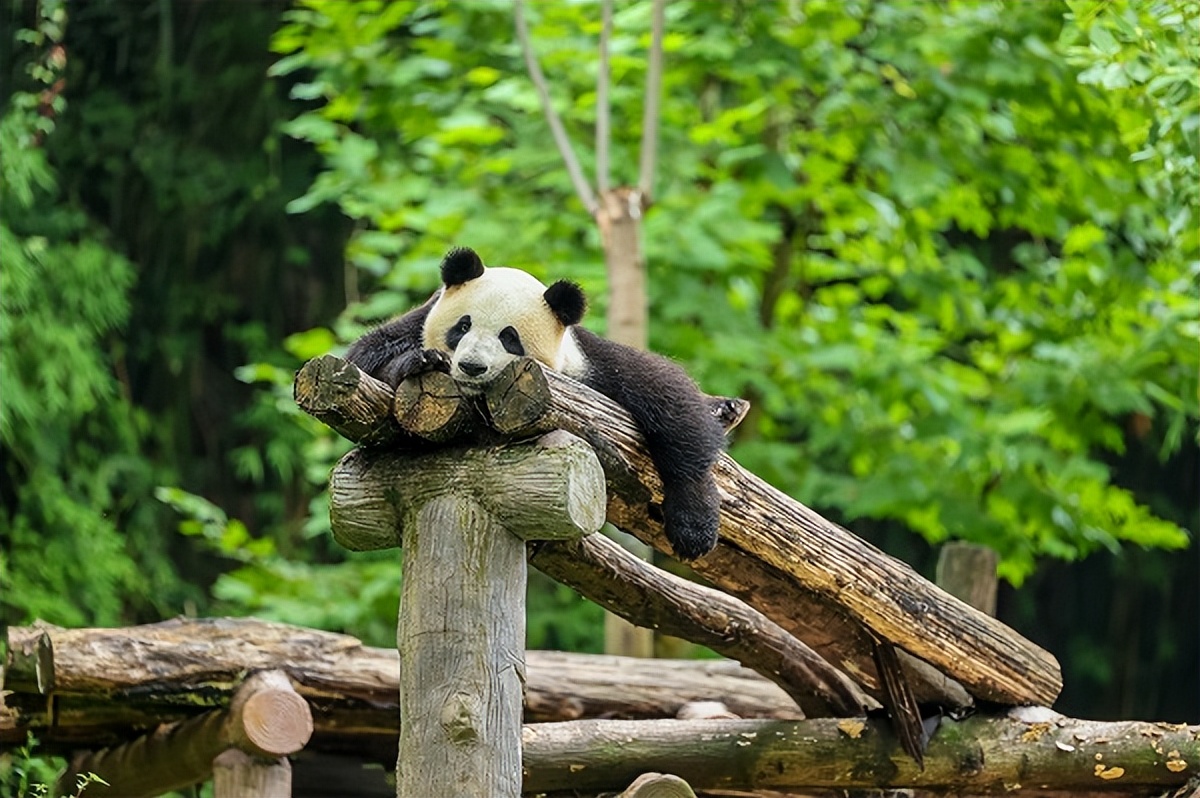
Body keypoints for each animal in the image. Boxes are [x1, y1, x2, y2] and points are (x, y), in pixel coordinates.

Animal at [345, 246, 726, 560]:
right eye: (462, 326)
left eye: (509, 338)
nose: (472, 366)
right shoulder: (413, 326)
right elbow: (367, 357)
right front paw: (421, 361)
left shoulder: (591, 366)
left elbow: (670, 399)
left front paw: (693, 529)